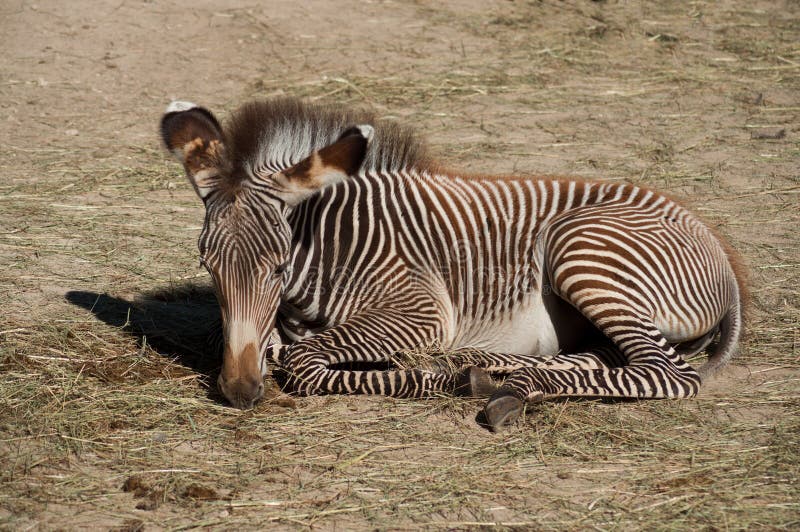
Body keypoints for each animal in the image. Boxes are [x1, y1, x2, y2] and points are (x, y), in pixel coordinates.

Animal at [160, 97, 745, 431]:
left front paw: (427, 376)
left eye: (280, 267)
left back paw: (497, 384)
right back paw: (495, 372)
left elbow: (301, 362)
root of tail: (718, 248)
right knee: (608, 357)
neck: (331, 241)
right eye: (206, 264)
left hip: (580, 248)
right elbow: (274, 345)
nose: (238, 392)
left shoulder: (421, 309)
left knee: (667, 373)